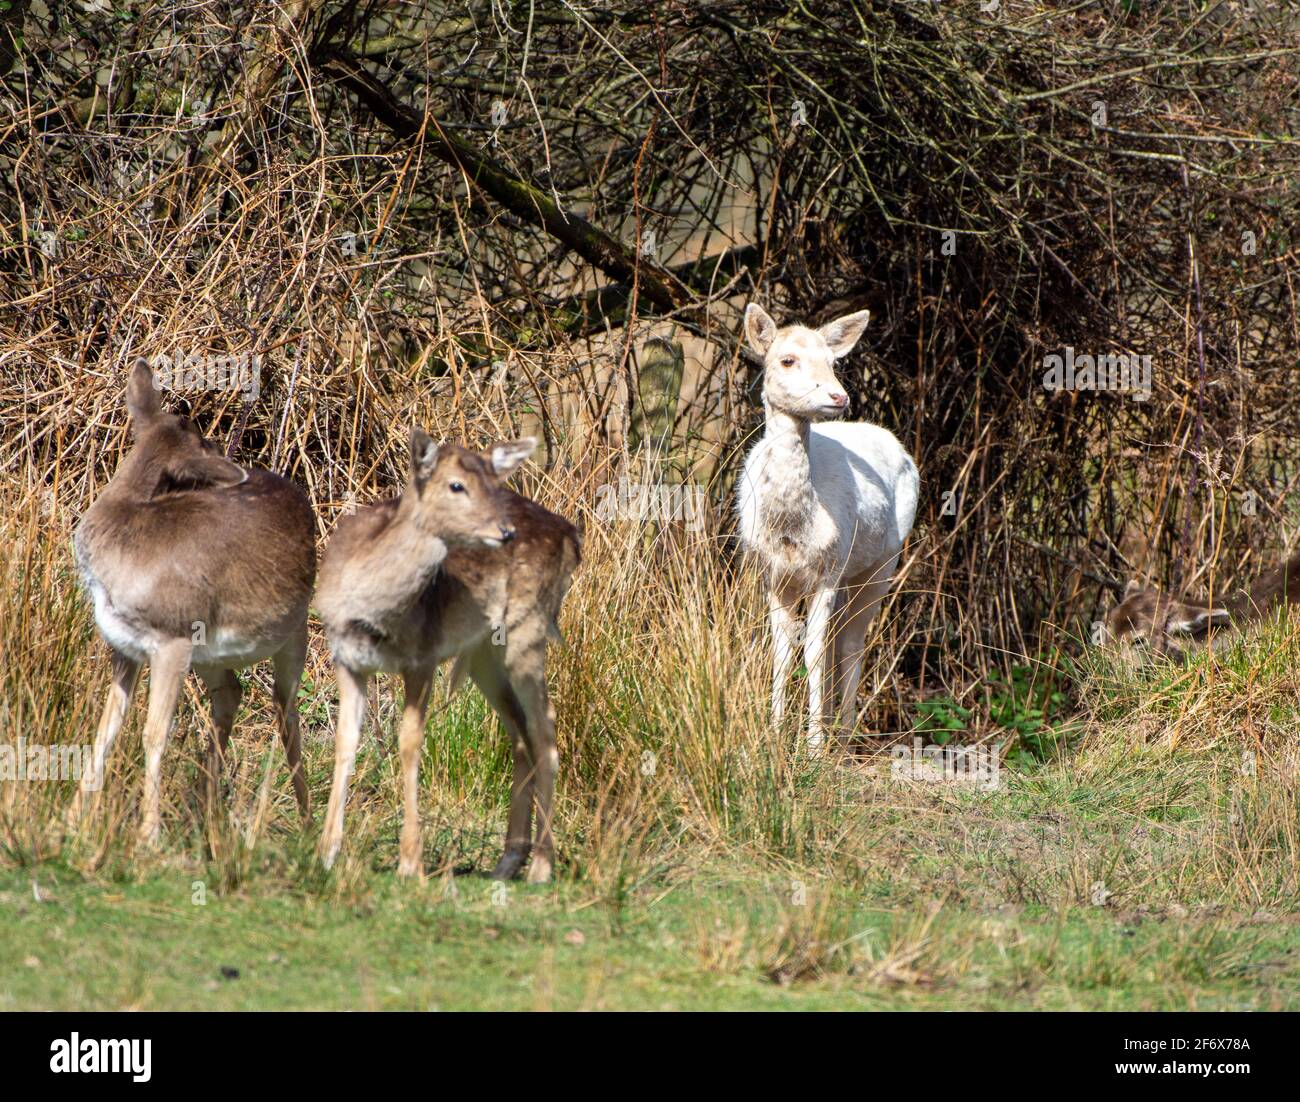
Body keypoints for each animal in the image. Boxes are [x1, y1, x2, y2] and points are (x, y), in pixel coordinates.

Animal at [70, 359, 316, 844]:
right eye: (206, 440)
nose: (226, 459)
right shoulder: (122, 646)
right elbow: (107, 729)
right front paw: (72, 817)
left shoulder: (173, 638)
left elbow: (153, 733)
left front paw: (148, 835)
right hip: (212, 654)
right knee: (233, 691)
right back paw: (206, 811)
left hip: (296, 630)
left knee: (286, 708)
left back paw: (309, 823)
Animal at [316, 431, 580, 884]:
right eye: (456, 485)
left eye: (494, 483)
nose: (505, 531)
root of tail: (570, 536)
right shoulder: (346, 658)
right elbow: (345, 741)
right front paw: (325, 852)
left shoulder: (423, 655)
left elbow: (409, 743)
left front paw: (410, 863)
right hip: (485, 655)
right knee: (520, 731)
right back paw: (509, 859)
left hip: (528, 629)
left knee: (545, 729)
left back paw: (542, 866)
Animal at [736, 303, 919, 753]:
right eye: (787, 360)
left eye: (833, 362)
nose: (839, 396)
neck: (792, 531)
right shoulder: (771, 574)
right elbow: (783, 651)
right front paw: (774, 735)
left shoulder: (827, 569)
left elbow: (813, 653)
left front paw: (814, 747)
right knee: (839, 639)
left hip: (881, 563)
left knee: (850, 643)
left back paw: (846, 736)